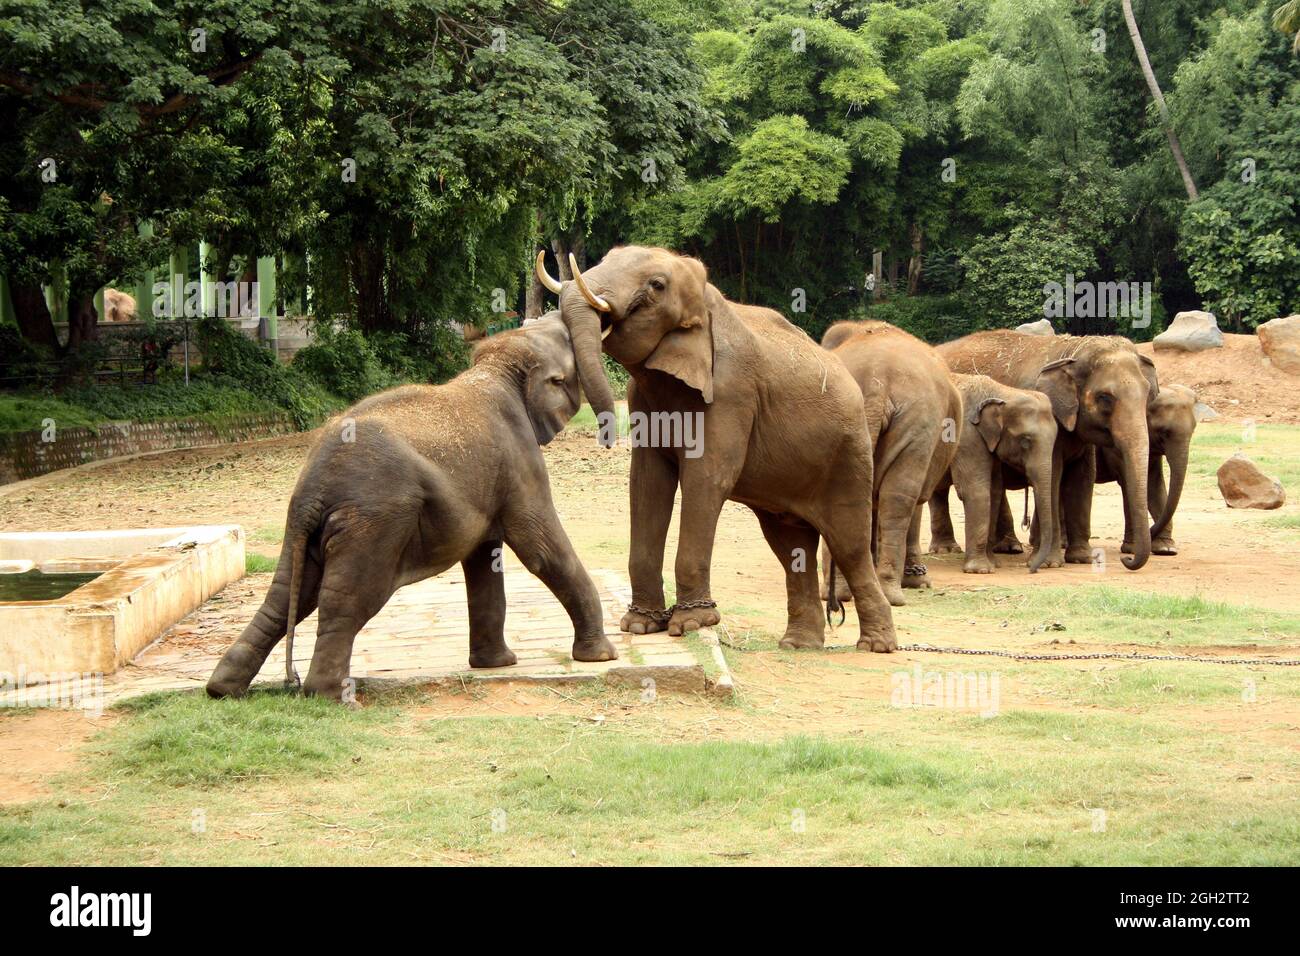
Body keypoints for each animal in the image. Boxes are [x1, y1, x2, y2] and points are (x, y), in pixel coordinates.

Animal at [206, 315, 617, 701]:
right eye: (566, 347)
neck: (496, 366)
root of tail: (313, 490)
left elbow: (484, 560)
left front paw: (497, 664)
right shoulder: (520, 462)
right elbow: (541, 550)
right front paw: (600, 656)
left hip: (300, 528)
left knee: (285, 595)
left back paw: (223, 689)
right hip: (373, 523)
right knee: (347, 599)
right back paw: (331, 697)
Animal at [538, 245, 897, 652]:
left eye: (656, 285)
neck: (706, 301)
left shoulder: (730, 393)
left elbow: (706, 481)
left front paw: (692, 624)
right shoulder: (642, 398)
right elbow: (647, 483)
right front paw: (640, 625)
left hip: (849, 454)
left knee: (848, 544)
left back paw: (876, 646)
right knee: (790, 546)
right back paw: (798, 645)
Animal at [817, 320, 962, 605]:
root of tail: (877, 383)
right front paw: (918, 582)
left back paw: (838, 593)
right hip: (919, 424)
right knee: (900, 497)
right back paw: (891, 594)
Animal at [927, 374, 1060, 574]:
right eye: (1025, 441)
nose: (1031, 568)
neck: (1002, 391)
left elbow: (995, 491)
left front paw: (993, 564)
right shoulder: (967, 436)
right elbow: (976, 490)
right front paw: (980, 570)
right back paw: (943, 551)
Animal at [1094, 382, 1197, 556]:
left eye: (1193, 430)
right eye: (1164, 432)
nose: (1150, 531)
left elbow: (1154, 486)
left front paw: (1166, 549)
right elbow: (1130, 486)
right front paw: (1132, 549)